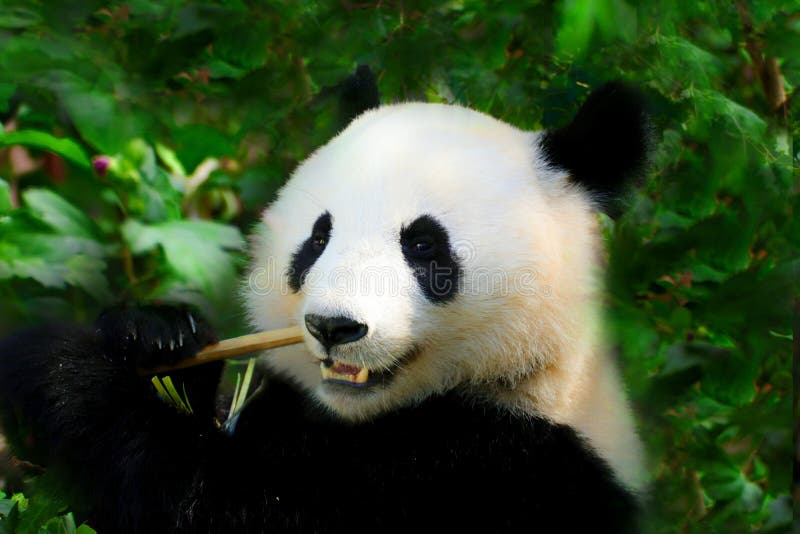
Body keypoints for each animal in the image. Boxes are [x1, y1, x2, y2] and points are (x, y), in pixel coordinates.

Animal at [0, 76, 649, 533]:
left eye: (423, 245)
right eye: (318, 236)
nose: (333, 326)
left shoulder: (500, 474)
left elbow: (215, 502)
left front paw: (59, 366)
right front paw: (156, 334)